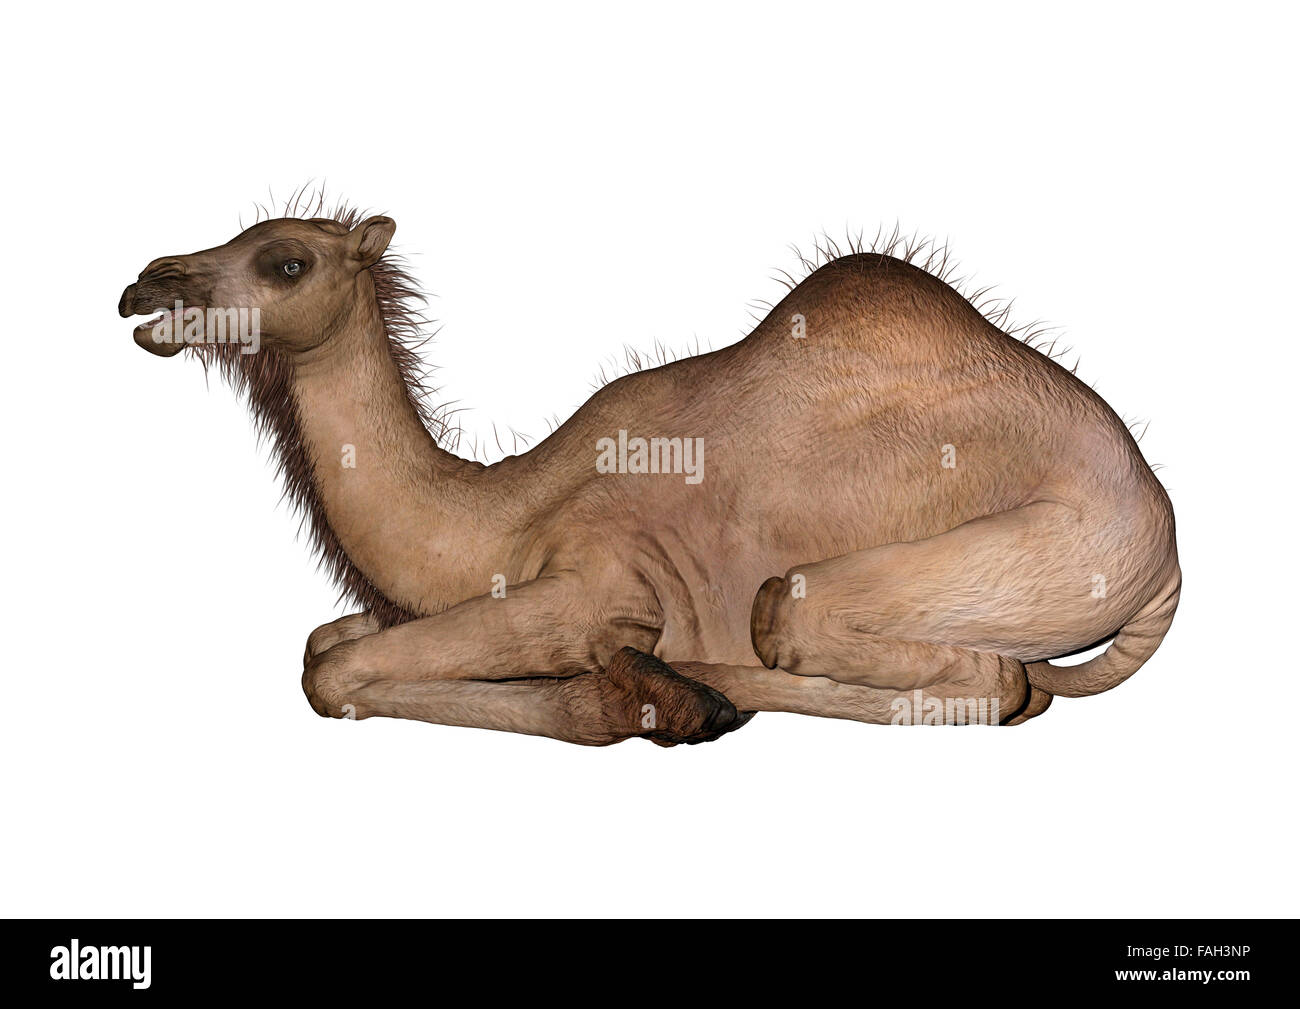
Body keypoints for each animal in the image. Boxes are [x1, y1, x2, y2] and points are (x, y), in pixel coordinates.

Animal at [118, 202, 1181, 745]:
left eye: (287, 262)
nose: (145, 284)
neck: (501, 514)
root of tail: (1165, 542)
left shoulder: (598, 582)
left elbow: (332, 674)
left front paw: (632, 694)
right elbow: (323, 641)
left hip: (1055, 551)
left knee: (985, 676)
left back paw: (699, 689)